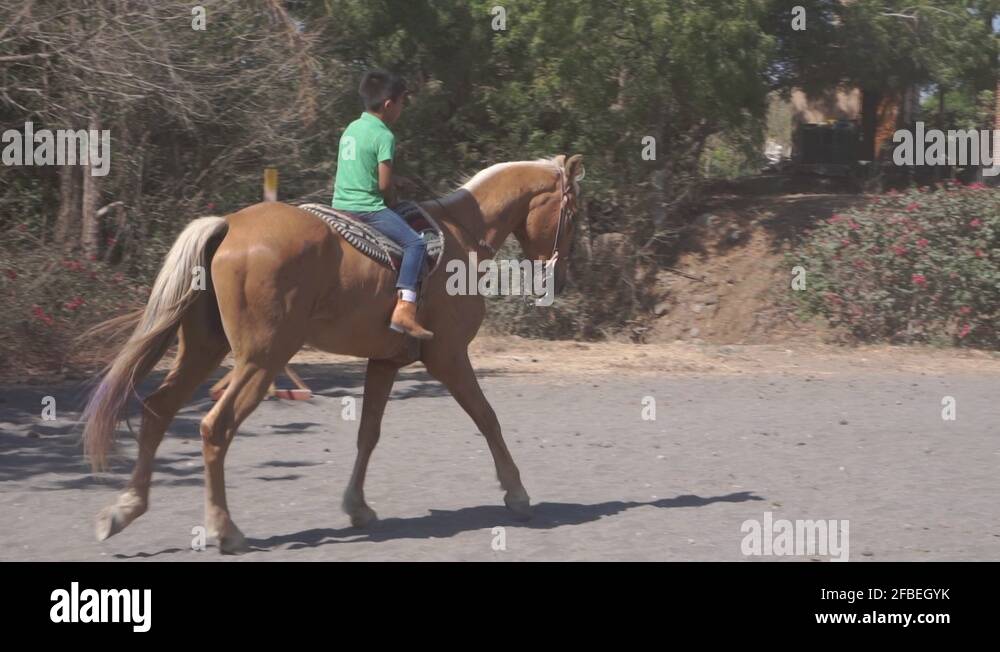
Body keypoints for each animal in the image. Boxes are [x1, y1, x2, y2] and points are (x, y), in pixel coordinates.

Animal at [81, 154, 585, 553]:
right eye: (573, 212)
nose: (560, 278)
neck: (462, 236)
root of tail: (228, 227)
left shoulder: (385, 362)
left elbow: (368, 434)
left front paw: (357, 507)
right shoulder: (448, 357)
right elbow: (487, 419)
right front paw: (517, 493)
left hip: (204, 352)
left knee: (157, 410)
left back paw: (123, 510)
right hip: (260, 361)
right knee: (214, 427)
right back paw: (225, 530)